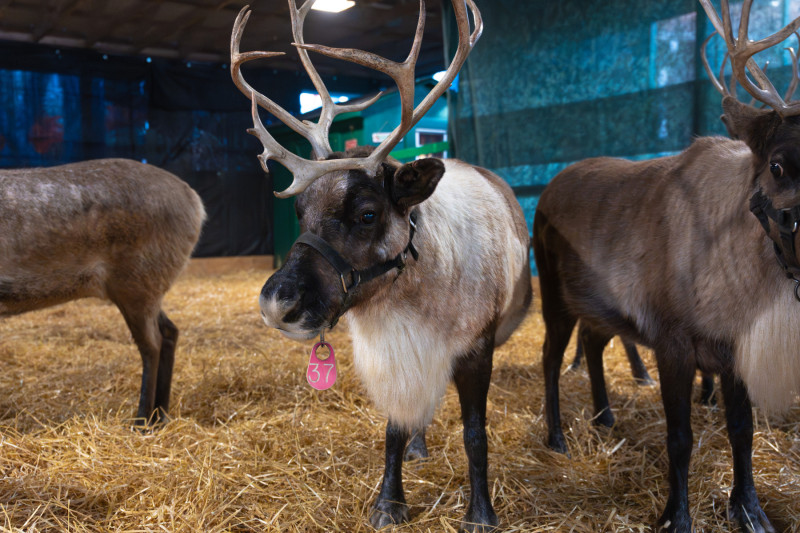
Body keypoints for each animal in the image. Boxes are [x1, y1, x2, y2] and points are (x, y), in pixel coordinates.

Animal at [0, 158, 205, 426]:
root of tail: (195, 202)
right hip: (146, 288)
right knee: (170, 330)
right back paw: (160, 416)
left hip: (138, 281)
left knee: (152, 344)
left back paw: (141, 422)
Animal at [231, 1, 531, 531]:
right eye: (299, 210)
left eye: (368, 213)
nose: (275, 303)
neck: (414, 301)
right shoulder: (396, 356)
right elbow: (394, 427)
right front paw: (388, 502)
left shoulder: (477, 348)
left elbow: (475, 432)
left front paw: (480, 512)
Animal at [533, 1, 800, 531]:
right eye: (778, 164)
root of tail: (548, 188)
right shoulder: (672, 342)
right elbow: (680, 439)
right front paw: (676, 516)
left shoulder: (733, 351)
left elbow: (742, 429)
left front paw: (750, 509)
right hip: (554, 293)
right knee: (551, 356)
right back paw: (557, 437)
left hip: (599, 306)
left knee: (592, 341)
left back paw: (604, 416)